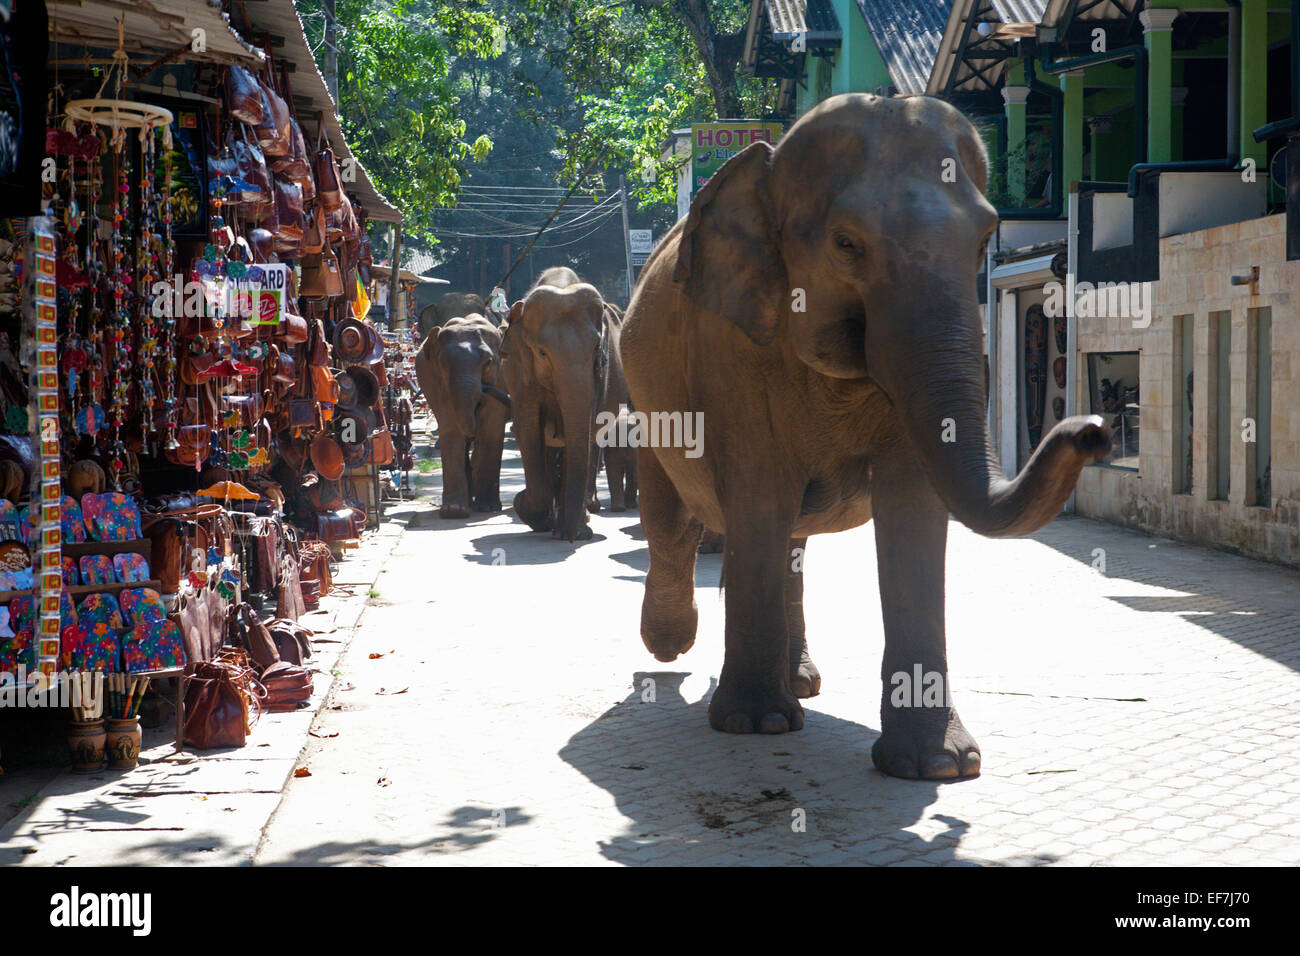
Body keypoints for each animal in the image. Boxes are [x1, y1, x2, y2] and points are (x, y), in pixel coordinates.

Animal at [414, 313, 510, 518]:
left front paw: (487, 508)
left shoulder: (501, 379)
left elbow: (491, 431)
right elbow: (451, 431)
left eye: (488, 362)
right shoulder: (439, 384)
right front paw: (454, 511)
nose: (483, 394)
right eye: (443, 363)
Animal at [501, 266, 630, 540]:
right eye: (541, 352)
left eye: (596, 348)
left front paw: (573, 531)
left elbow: (584, 432)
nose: (570, 537)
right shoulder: (521, 370)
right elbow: (527, 431)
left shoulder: (599, 375)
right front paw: (528, 509)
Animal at [620, 93, 1111, 780]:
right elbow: (758, 496)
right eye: (846, 243)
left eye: (984, 240)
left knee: (790, 544)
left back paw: (799, 683)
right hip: (647, 398)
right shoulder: (731, 352)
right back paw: (671, 647)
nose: (1093, 430)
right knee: (673, 522)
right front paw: (753, 726)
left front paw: (938, 765)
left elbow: (912, 510)